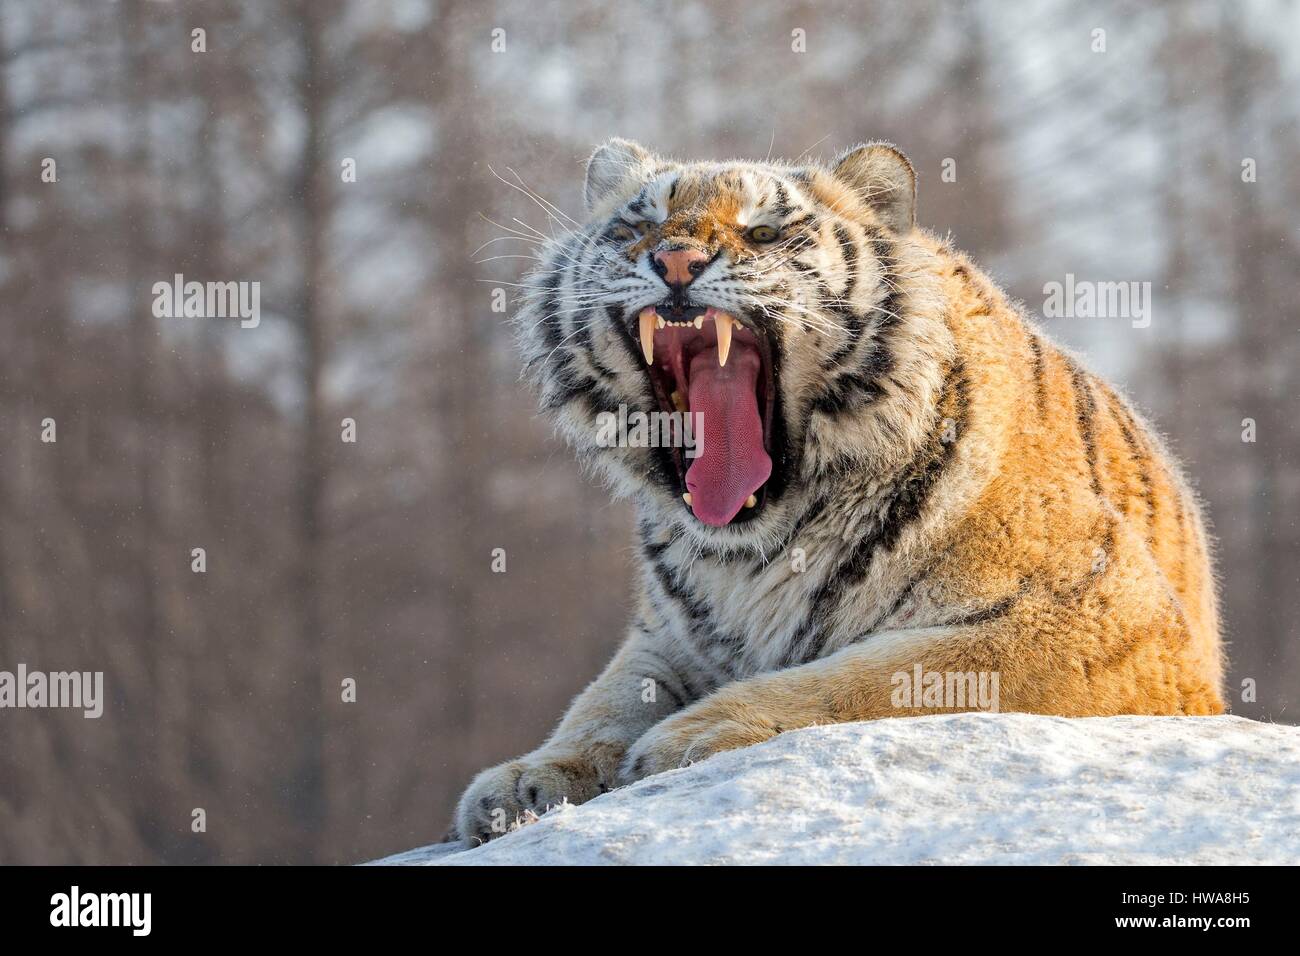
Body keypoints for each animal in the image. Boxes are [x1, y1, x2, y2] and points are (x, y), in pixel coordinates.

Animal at [451, 137, 1224, 845]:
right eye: (637, 226)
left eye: (763, 232)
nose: (674, 261)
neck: (751, 551)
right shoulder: (665, 638)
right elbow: (601, 703)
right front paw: (526, 778)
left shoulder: (1103, 617)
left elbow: (870, 675)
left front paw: (692, 735)